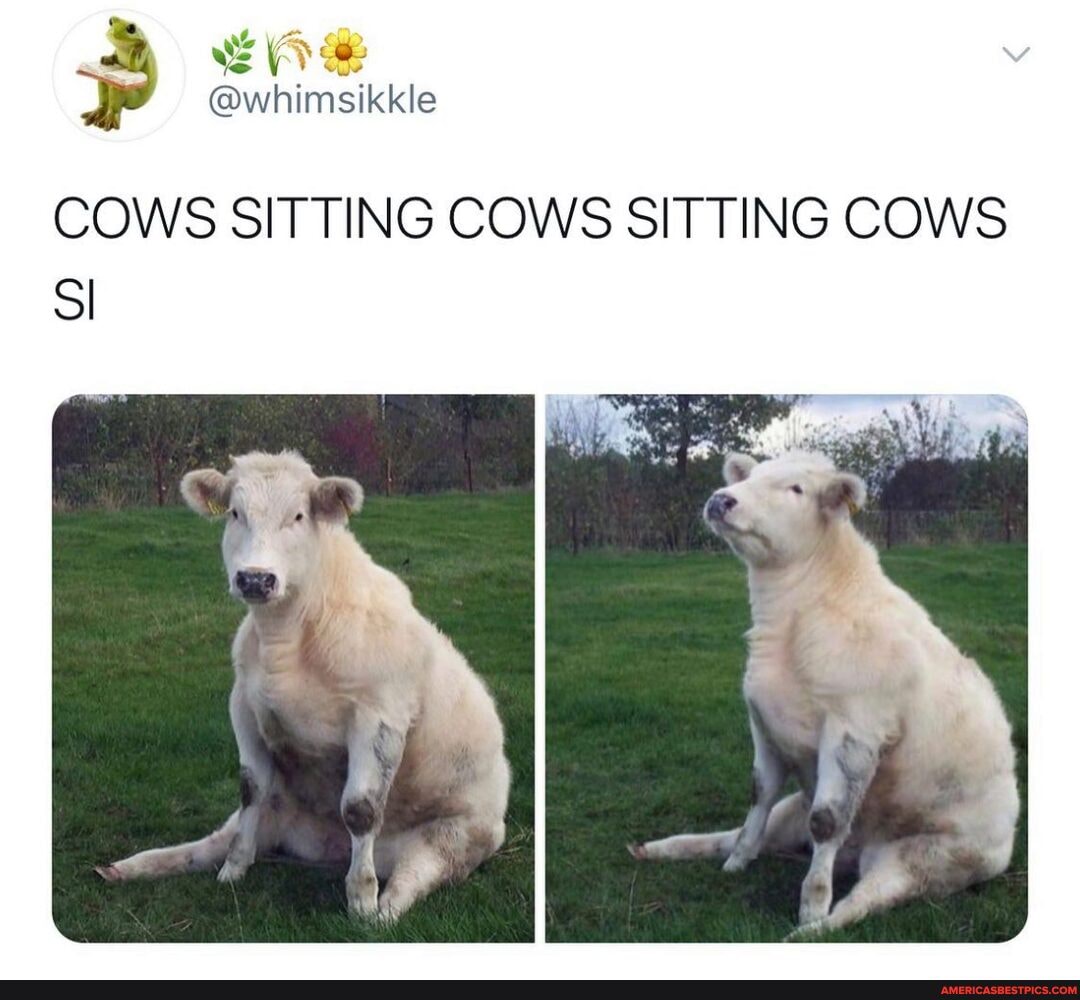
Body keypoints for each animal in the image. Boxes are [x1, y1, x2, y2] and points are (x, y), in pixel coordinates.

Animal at [96, 451, 511, 922]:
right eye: (235, 513)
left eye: (298, 515)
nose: (255, 579)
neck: (287, 637)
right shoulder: (243, 704)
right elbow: (250, 787)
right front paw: (234, 869)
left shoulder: (379, 717)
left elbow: (361, 809)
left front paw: (361, 899)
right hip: (279, 814)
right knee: (209, 844)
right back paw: (131, 867)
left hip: (455, 837)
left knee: (414, 875)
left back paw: (384, 908)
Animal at [629, 451, 1019, 937]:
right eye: (751, 476)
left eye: (797, 488)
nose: (722, 499)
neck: (790, 628)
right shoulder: (763, 722)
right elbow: (758, 795)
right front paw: (738, 863)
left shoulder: (855, 730)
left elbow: (828, 822)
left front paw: (812, 906)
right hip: (794, 812)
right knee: (743, 833)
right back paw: (665, 848)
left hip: (929, 859)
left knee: (866, 899)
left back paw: (812, 931)